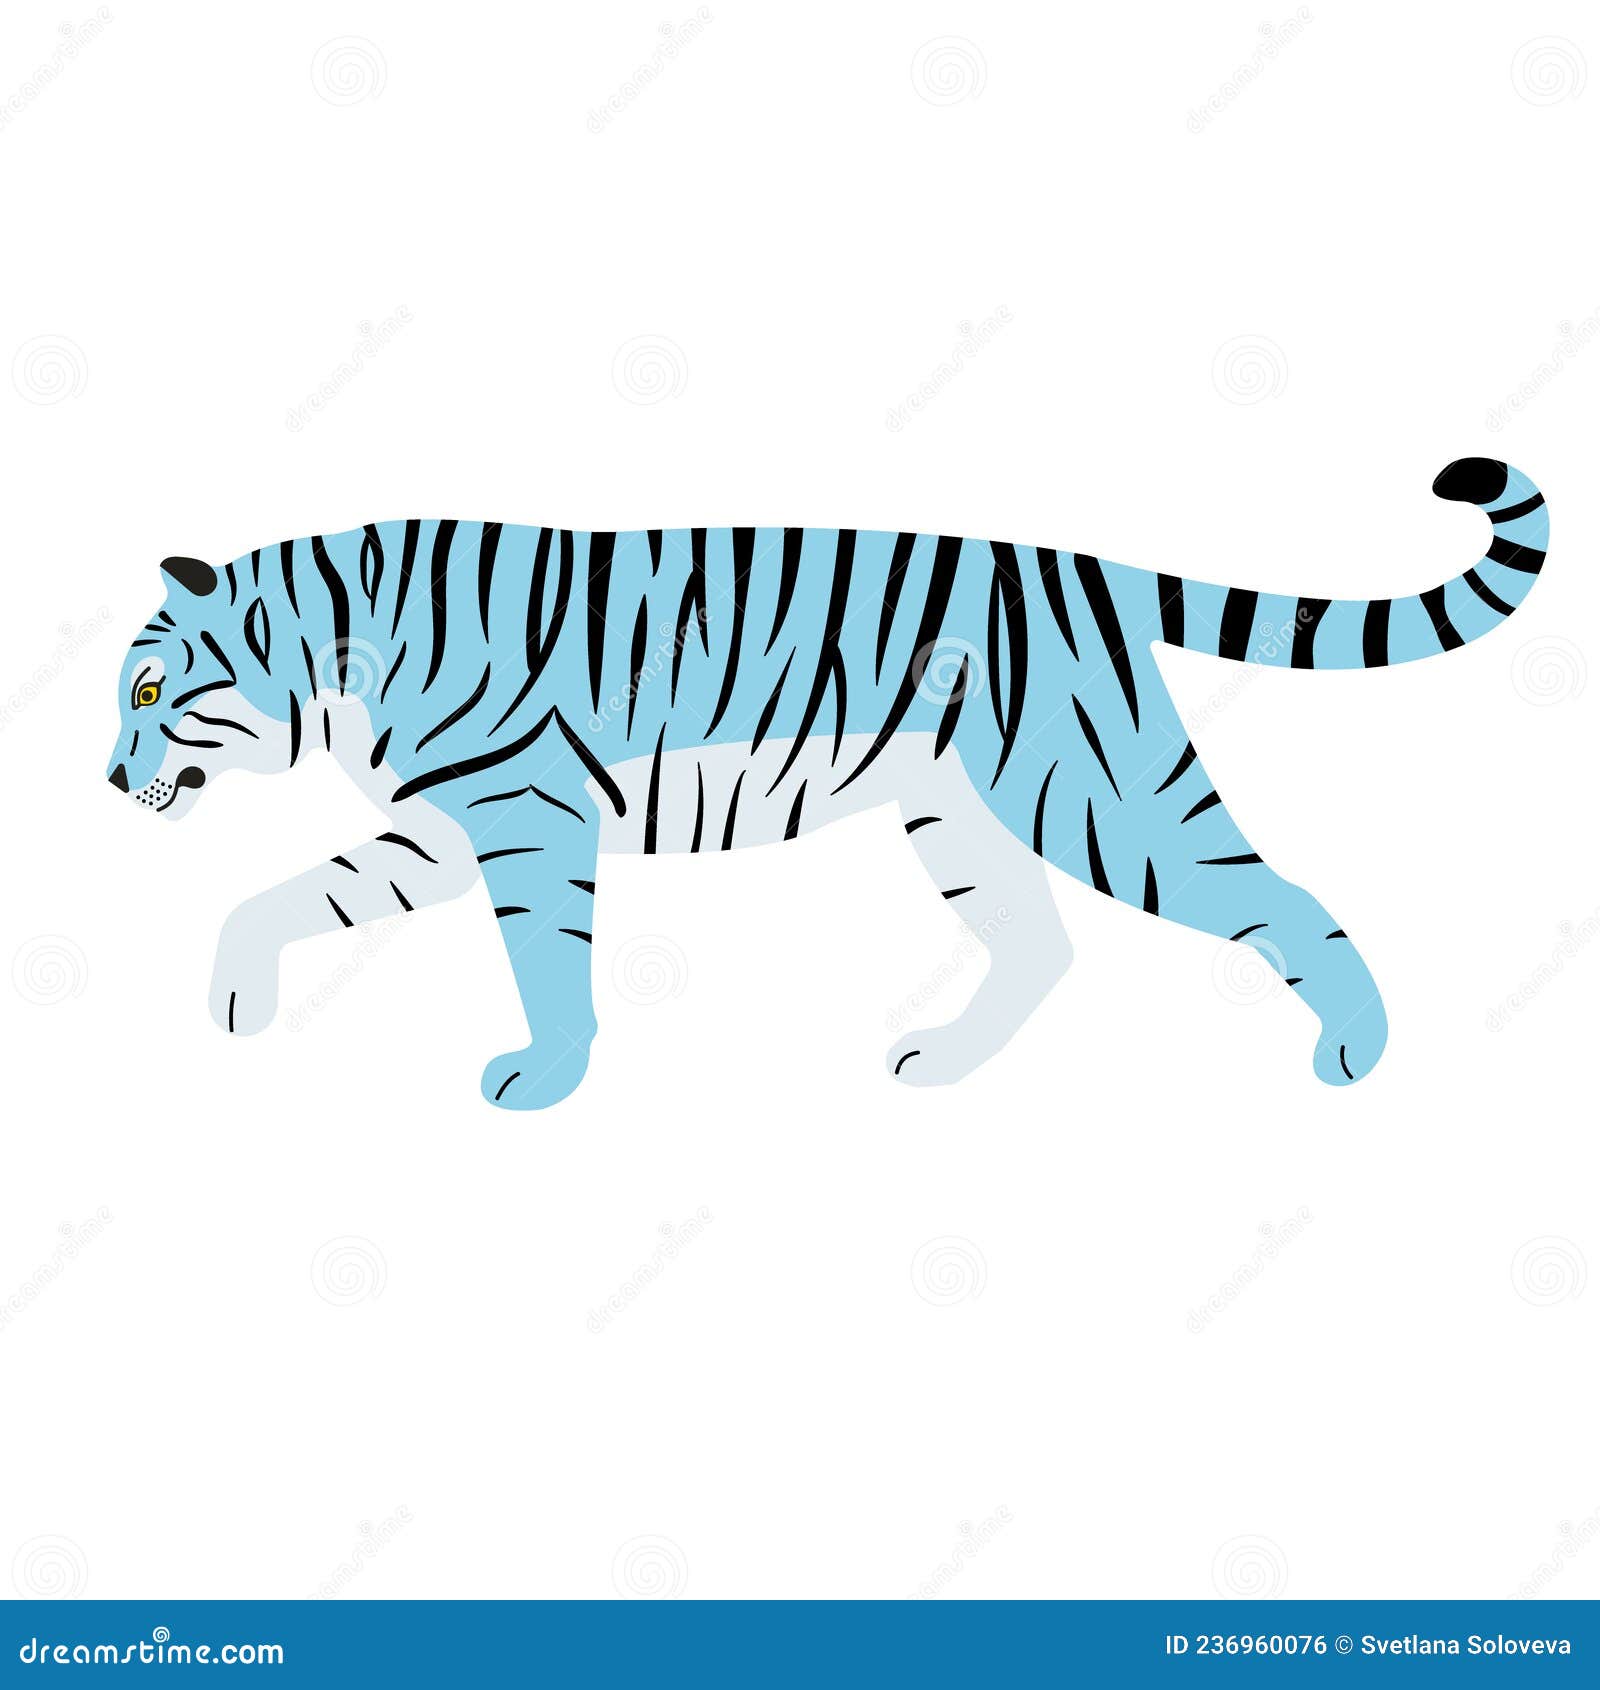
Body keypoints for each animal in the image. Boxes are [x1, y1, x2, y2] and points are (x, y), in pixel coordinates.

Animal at [106, 456, 1548, 1109]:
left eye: (145, 691)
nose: (110, 778)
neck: (329, 658)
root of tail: (1085, 560)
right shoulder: (449, 827)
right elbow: (297, 894)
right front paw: (234, 1000)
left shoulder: (522, 821)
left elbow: (546, 958)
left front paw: (547, 1075)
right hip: (963, 810)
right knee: (1040, 944)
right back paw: (945, 1062)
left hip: (1093, 795)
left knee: (1276, 891)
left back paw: (1354, 1052)